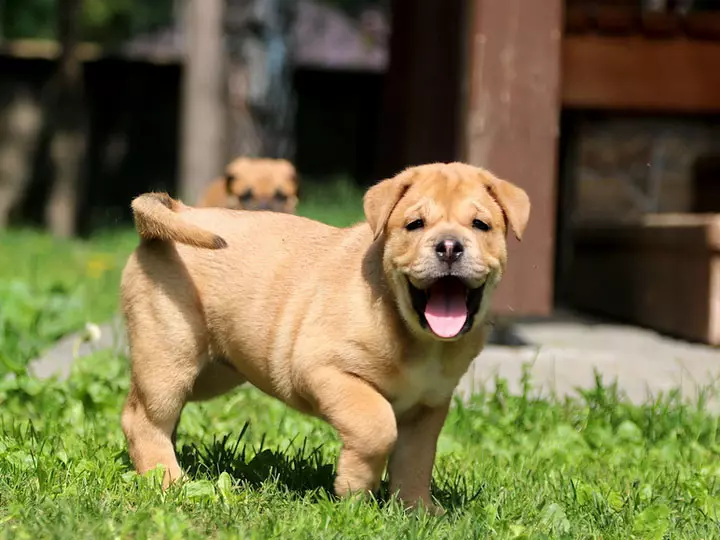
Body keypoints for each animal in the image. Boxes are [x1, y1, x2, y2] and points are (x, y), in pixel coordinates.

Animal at [119, 161, 528, 516]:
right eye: (415, 224)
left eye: (480, 225)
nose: (449, 247)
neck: (412, 332)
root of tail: (180, 211)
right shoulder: (325, 370)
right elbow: (377, 425)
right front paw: (355, 494)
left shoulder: (428, 406)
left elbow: (415, 461)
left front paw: (419, 511)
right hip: (169, 354)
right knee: (142, 418)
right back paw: (169, 481)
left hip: (212, 372)